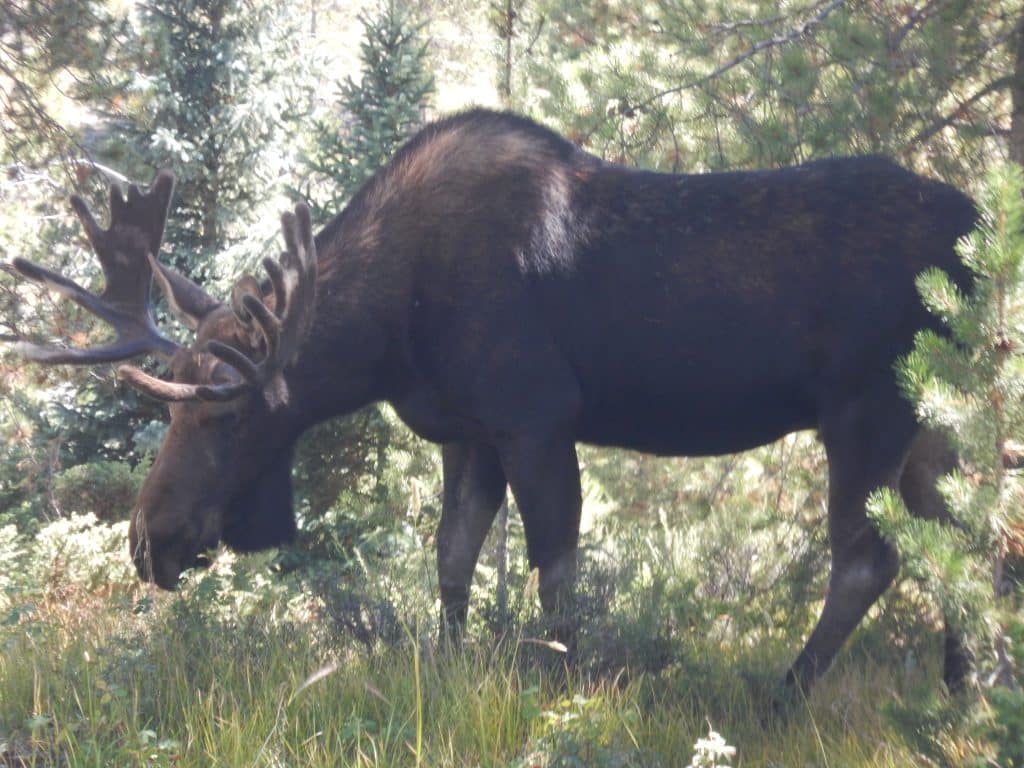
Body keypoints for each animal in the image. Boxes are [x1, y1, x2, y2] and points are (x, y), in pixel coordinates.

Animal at [9, 109, 978, 699]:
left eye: (228, 413)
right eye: (171, 412)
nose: (149, 540)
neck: (392, 332)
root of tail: (981, 237)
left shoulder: (536, 414)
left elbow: (555, 574)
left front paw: (572, 688)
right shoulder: (464, 432)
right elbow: (452, 562)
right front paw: (448, 669)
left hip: (868, 409)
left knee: (868, 563)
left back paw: (781, 697)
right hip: (935, 428)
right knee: (961, 545)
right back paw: (960, 688)